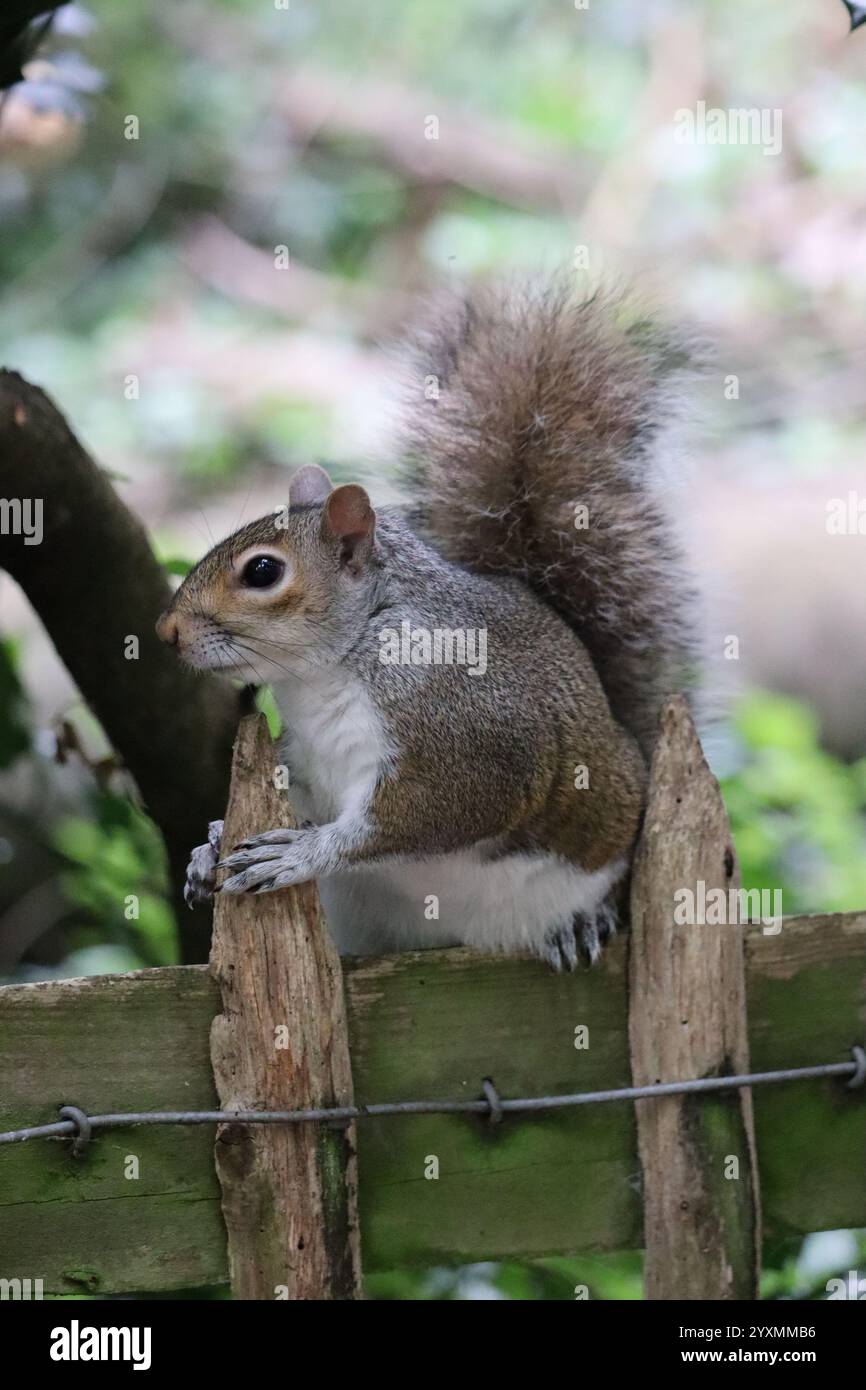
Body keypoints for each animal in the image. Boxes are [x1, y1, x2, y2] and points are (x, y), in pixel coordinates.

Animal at [156, 281, 699, 969]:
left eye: (262, 571)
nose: (166, 632)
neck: (330, 669)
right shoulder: (306, 754)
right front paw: (211, 846)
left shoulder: (468, 734)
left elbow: (411, 820)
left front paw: (302, 852)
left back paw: (581, 923)